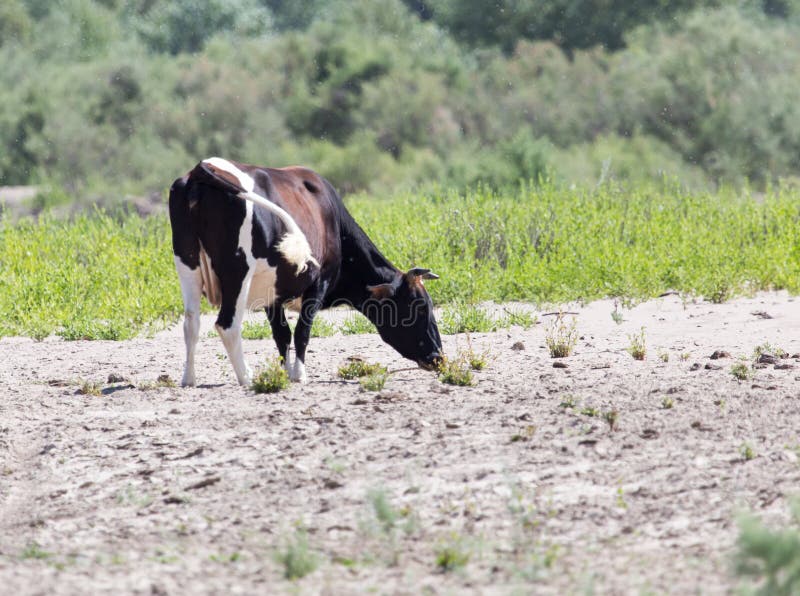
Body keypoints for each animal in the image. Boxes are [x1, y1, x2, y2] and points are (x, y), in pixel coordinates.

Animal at [168, 157, 443, 386]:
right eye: (420, 306)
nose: (438, 356)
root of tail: (200, 169)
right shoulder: (319, 282)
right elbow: (302, 330)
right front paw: (298, 374)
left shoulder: (273, 292)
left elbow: (281, 334)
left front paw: (283, 373)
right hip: (238, 270)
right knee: (227, 324)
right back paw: (246, 377)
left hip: (187, 262)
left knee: (191, 322)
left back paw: (189, 379)